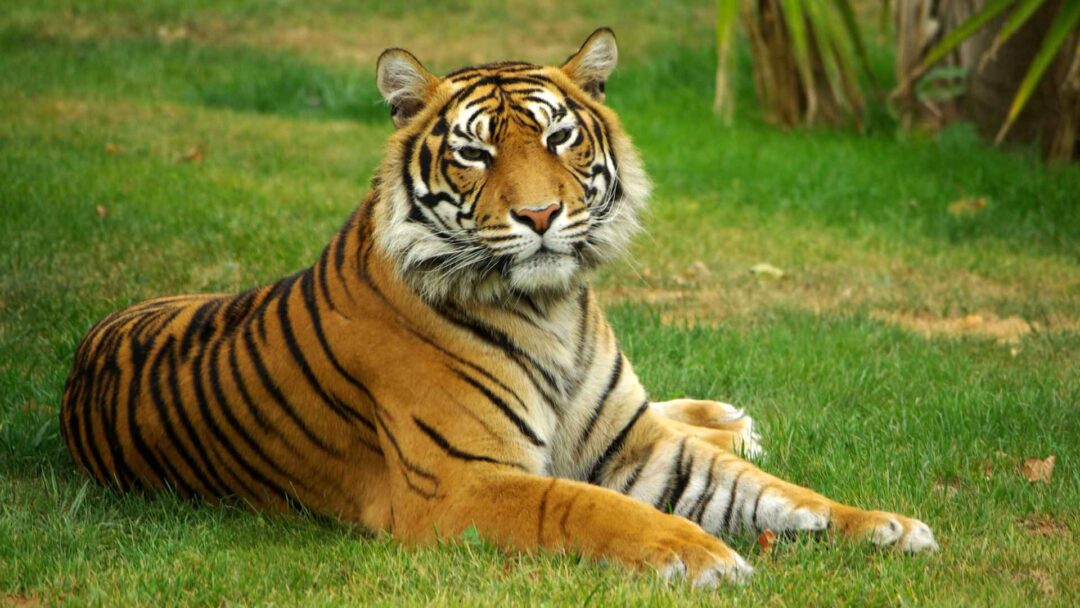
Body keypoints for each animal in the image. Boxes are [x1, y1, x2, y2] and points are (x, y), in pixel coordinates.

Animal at [59, 28, 937, 587]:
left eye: (558, 139)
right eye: (475, 152)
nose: (541, 215)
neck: (553, 309)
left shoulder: (640, 444)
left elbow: (775, 492)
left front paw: (883, 525)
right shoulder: (465, 483)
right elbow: (584, 505)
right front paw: (703, 556)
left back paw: (728, 417)